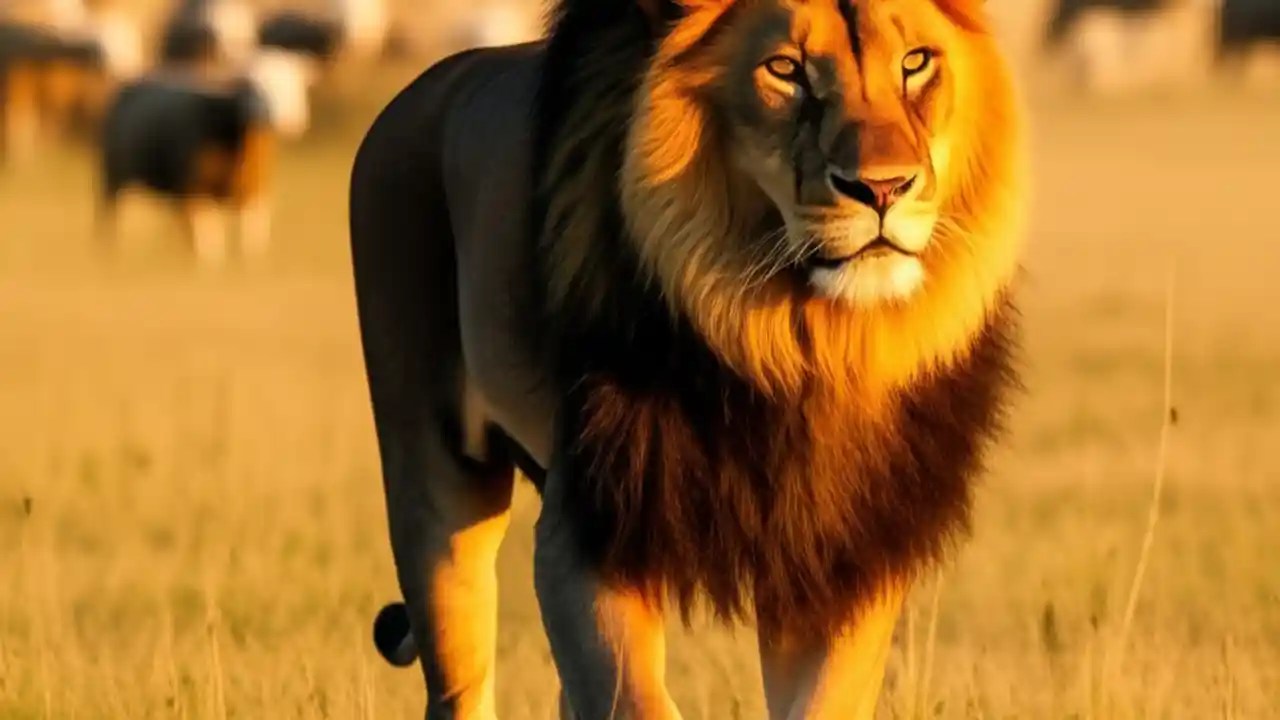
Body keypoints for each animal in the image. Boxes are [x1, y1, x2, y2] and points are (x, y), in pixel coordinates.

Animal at [349, 1, 1025, 717]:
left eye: (915, 63)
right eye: (785, 70)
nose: (884, 188)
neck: (791, 348)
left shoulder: (840, 556)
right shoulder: (584, 536)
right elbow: (635, 699)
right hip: (435, 491)